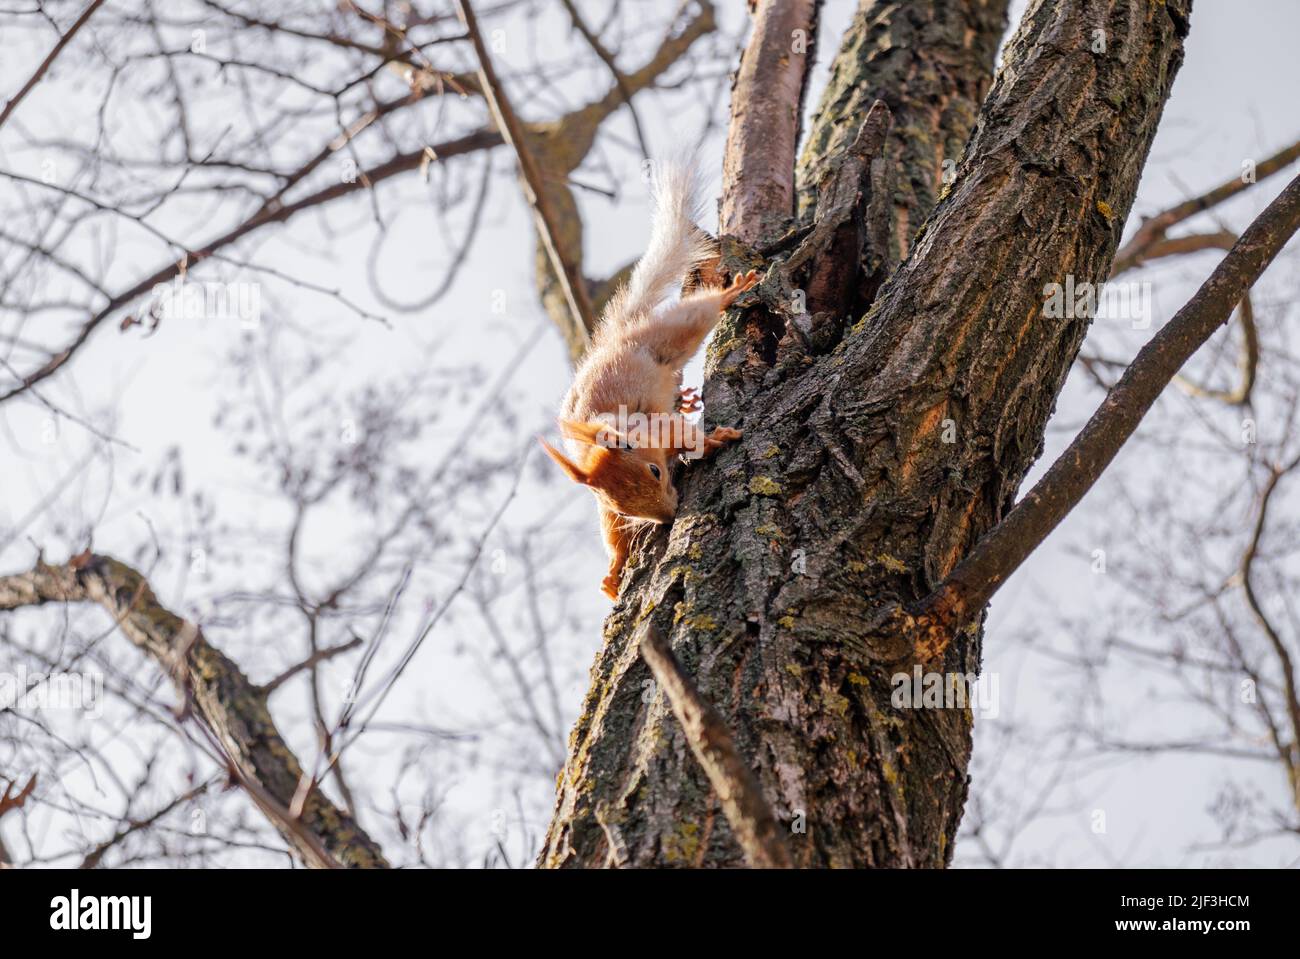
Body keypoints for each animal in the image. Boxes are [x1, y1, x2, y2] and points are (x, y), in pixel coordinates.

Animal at [540, 161, 759, 600]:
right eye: (622, 507)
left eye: (656, 473)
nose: (669, 515)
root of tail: (619, 337)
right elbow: (612, 534)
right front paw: (613, 570)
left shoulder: (655, 425)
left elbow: (685, 436)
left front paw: (715, 440)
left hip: (666, 339)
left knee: (694, 318)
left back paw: (729, 294)